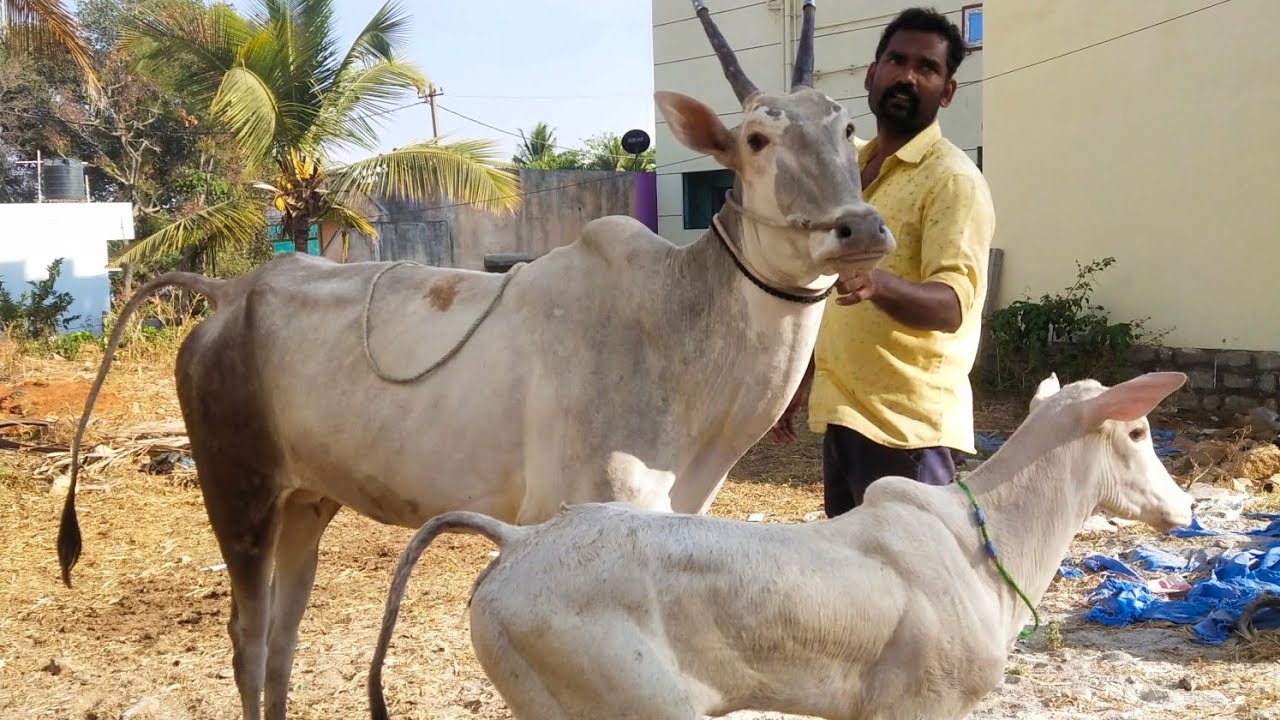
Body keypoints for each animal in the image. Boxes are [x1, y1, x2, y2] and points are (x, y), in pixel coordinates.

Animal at [53, 1, 893, 718]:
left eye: (848, 128)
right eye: (757, 140)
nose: (861, 229)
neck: (677, 321)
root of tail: (229, 291)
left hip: (306, 501)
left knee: (284, 641)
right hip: (240, 493)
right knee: (250, 642)